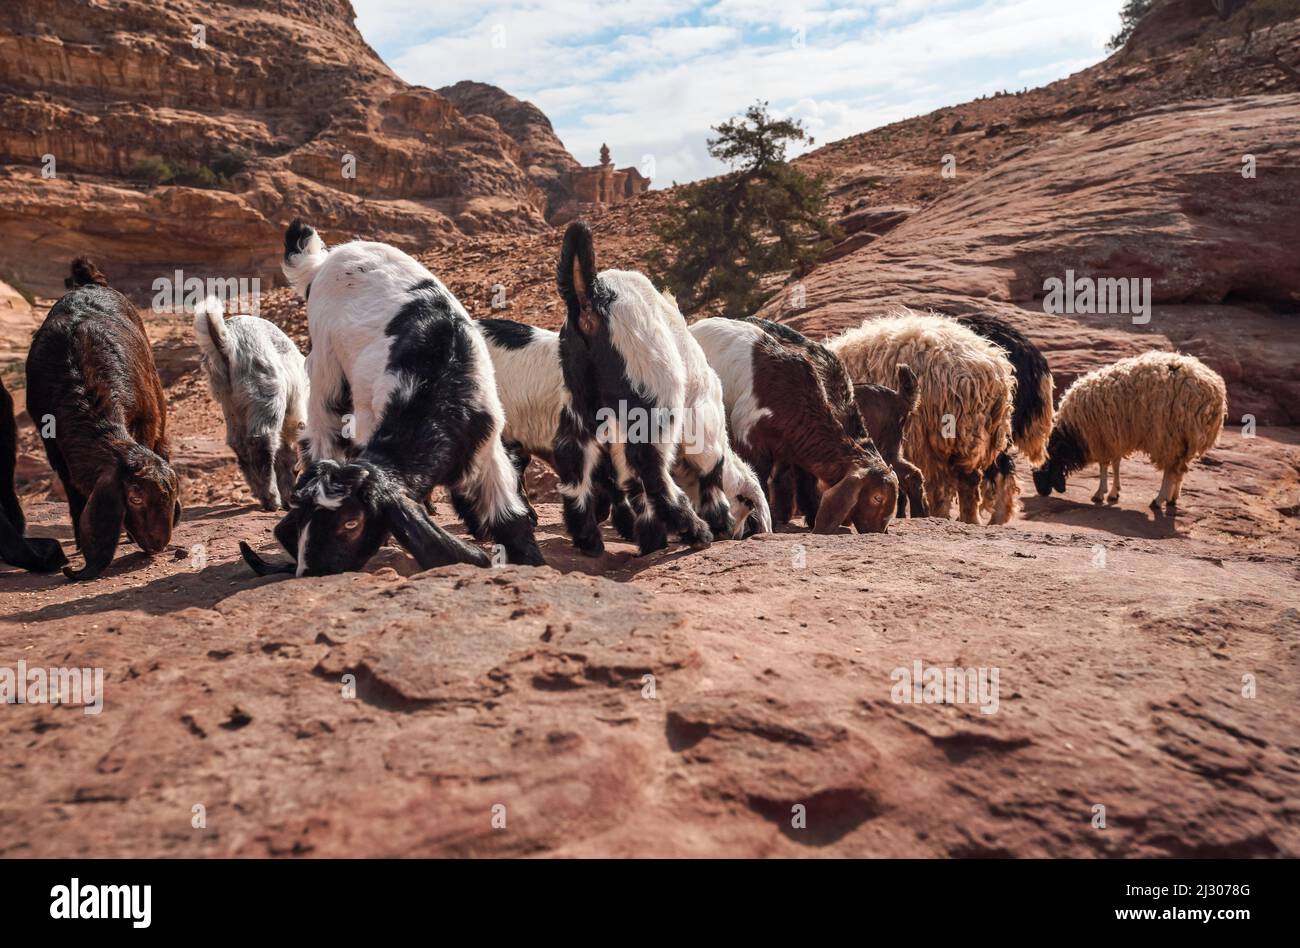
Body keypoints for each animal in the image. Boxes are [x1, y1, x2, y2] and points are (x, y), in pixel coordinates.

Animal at [26, 260, 181, 580]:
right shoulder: (53, 445)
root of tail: (89, 282)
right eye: (134, 498)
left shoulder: (146, 418)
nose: (159, 544)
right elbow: (73, 491)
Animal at [194, 296, 308, 512]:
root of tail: (227, 342)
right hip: (265, 392)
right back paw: (271, 499)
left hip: (231, 403)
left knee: (238, 443)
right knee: (261, 441)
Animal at [240, 221, 542, 578]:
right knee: (321, 432)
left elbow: (510, 519)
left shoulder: (488, 448)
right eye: (301, 520)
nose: (311, 572)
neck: (435, 387)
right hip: (326, 366)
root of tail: (326, 258)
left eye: (352, 522)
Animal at [1033, 351, 1226, 510]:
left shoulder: (1101, 436)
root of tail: (1214, 392)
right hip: (1187, 437)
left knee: (1170, 470)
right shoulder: (1114, 435)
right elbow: (1116, 463)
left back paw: (1159, 500)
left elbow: (1104, 465)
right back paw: (1173, 497)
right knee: (1179, 469)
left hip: (1170, 436)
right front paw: (1114, 492)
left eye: (1044, 465)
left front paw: (1100, 492)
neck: (1072, 431)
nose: (1041, 492)